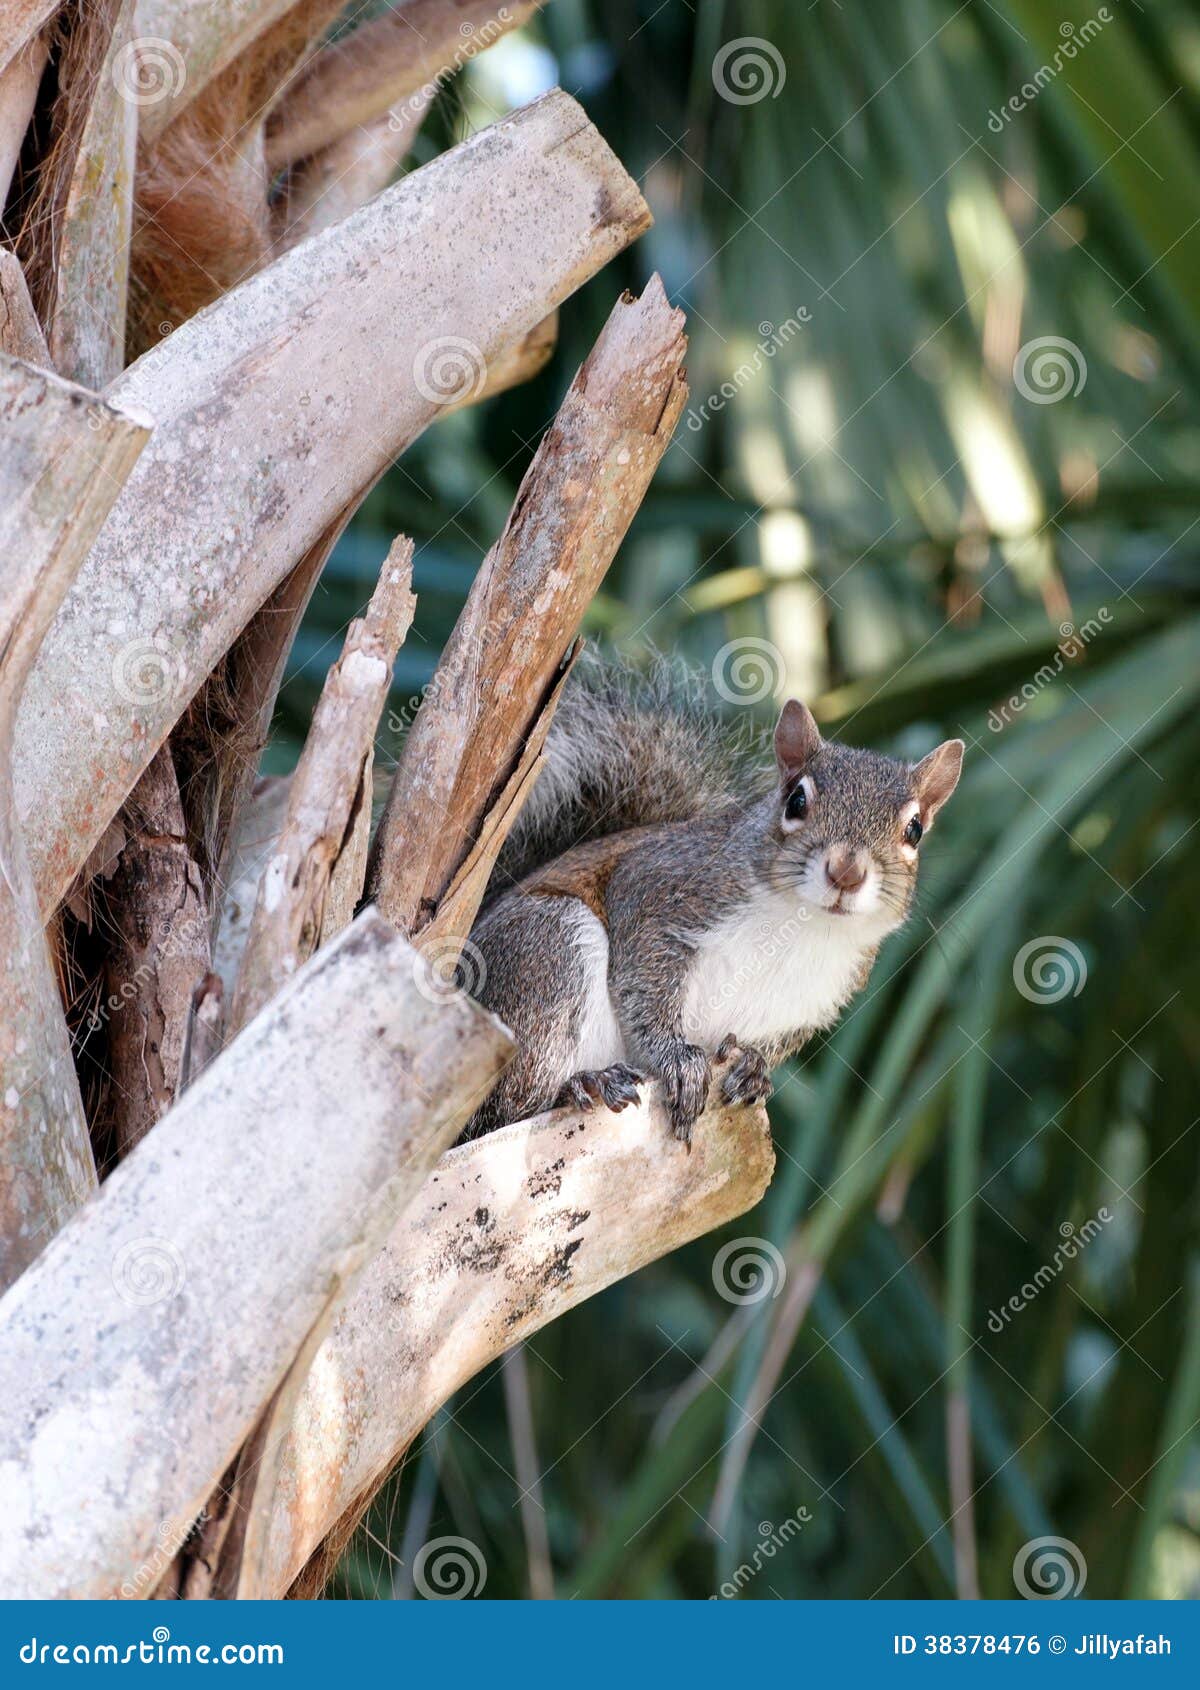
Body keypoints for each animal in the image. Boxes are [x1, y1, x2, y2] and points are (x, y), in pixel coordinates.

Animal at [464, 659, 963, 1144]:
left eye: (915, 830)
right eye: (796, 800)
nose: (846, 872)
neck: (802, 926)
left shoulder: (814, 1001)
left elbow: (771, 1046)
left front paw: (753, 1069)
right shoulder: (654, 888)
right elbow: (645, 985)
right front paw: (677, 1059)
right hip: (544, 950)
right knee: (504, 1110)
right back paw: (583, 1084)